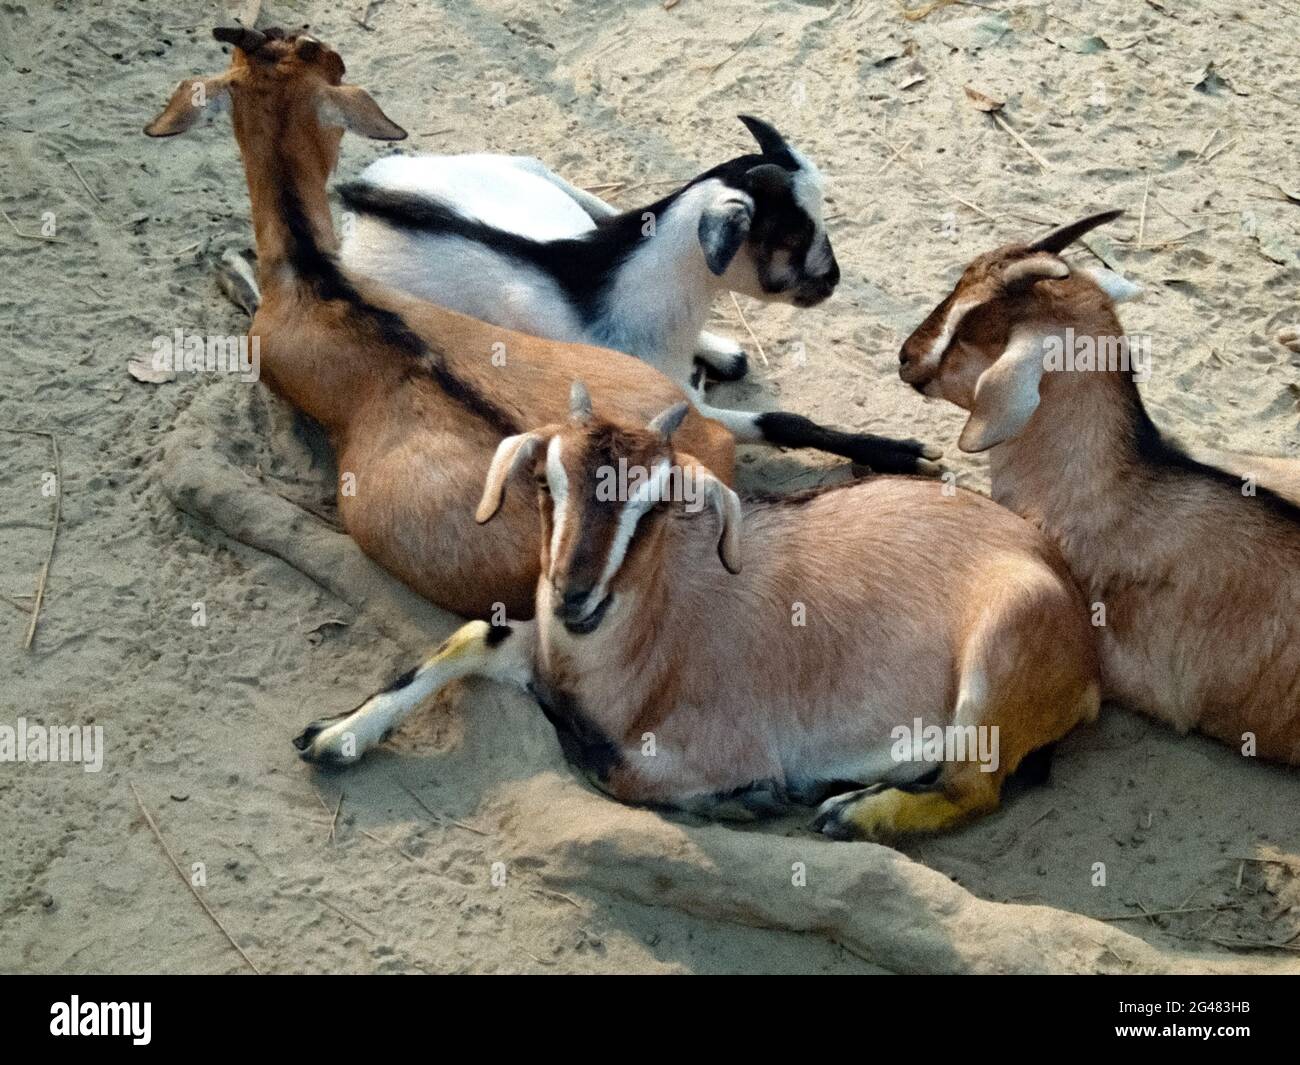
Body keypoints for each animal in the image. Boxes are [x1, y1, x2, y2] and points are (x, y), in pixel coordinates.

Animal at [294, 382, 1100, 841]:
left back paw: (852, 811)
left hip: (995, 661)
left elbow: (612, 768)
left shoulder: (706, 748)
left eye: (654, 505)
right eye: (548, 481)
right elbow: (468, 635)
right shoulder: (537, 648)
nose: (574, 595)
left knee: (976, 789)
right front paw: (332, 734)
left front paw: (748, 800)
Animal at [330, 119, 941, 475]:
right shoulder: (676, 414)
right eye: (790, 236)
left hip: (528, 171)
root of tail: (369, 189)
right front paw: (901, 454)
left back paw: (722, 352)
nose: (831, 279)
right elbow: (786, 422)